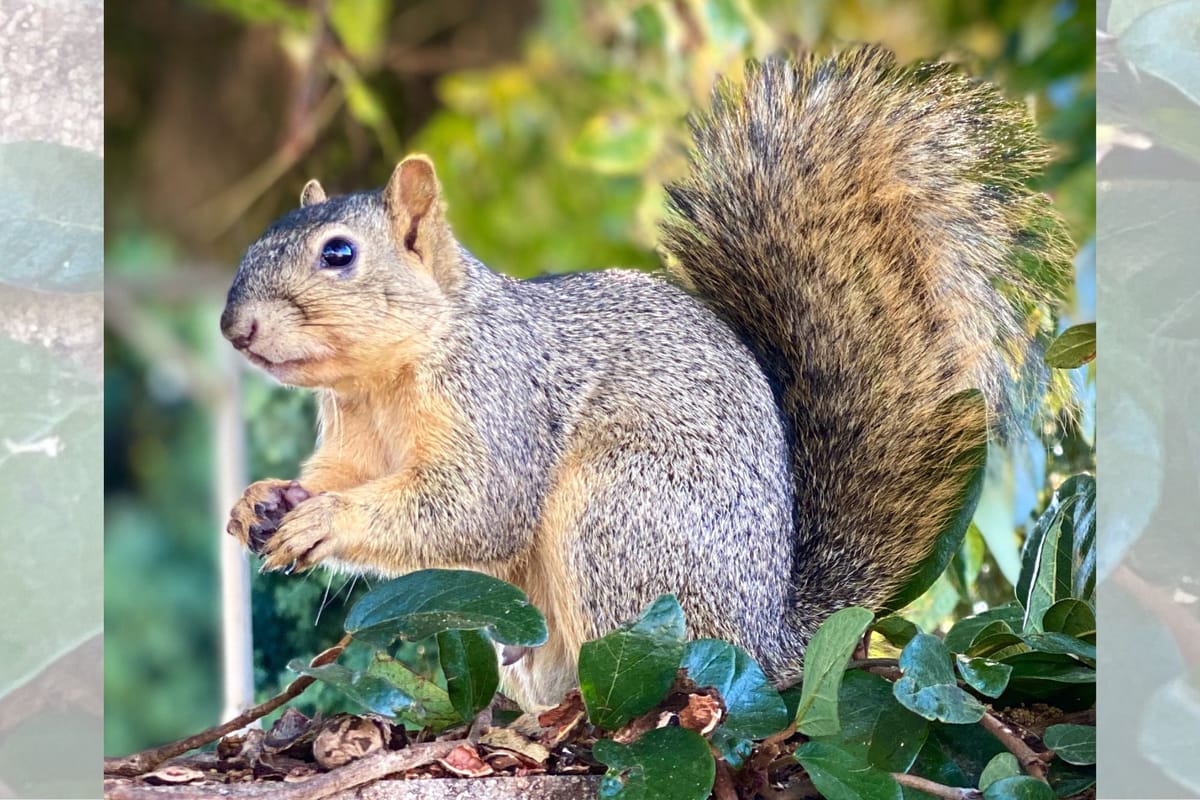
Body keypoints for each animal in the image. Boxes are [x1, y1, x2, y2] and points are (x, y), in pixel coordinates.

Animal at [220, 46, 1071, 711]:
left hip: (620, 518)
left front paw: (325, 521)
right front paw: (261, 501)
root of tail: (770, 636)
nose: (235, 327)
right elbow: (338, 475)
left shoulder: (497, 396)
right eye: (260, 239)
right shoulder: (352, 437)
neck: (384, 379)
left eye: (338, 253)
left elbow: (475, 504)